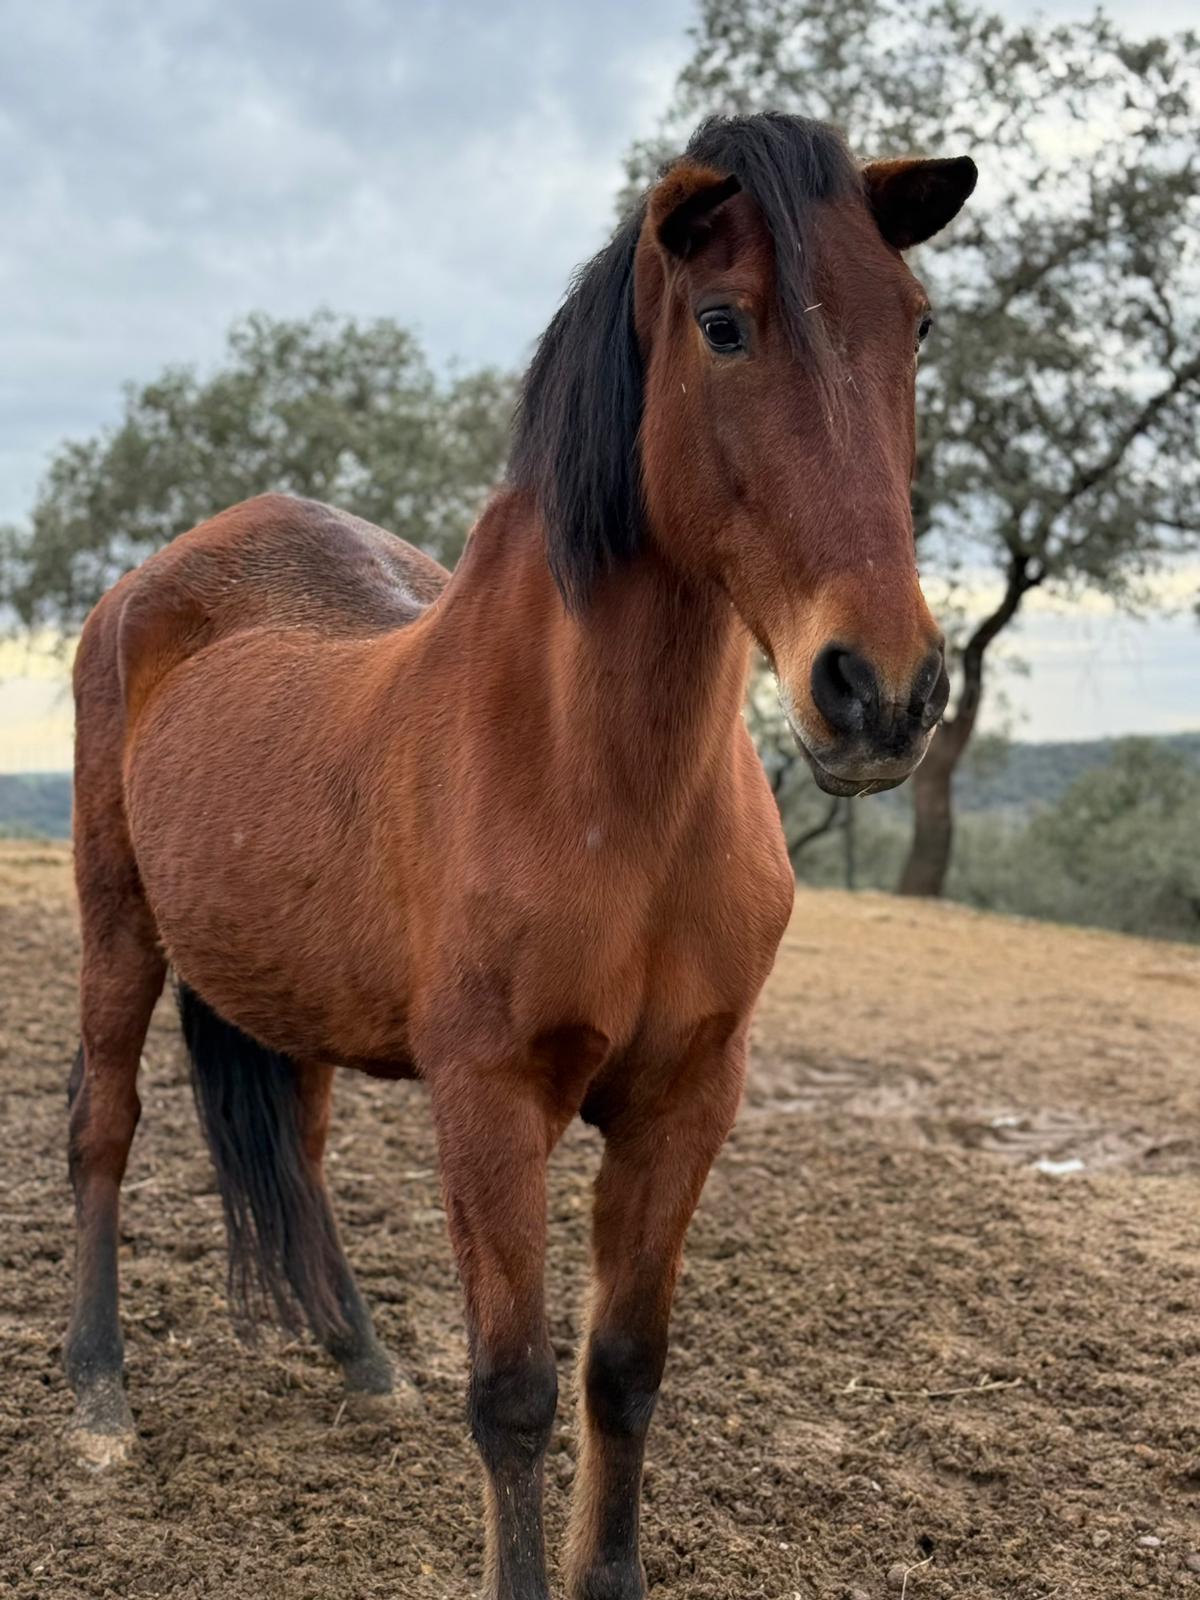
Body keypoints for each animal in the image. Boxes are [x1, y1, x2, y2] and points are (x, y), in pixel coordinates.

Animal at [64, 112, 975, 1599]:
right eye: (725, 324)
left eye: (918, 323)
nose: (883, 690)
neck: (606, 786)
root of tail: (156, 581)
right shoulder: (489, 1101)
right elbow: (516, 1398)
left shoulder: (688, 1100)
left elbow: (624, 1374)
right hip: (118, 924)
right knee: (106, 1127)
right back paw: (96, 1391)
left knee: (297, 1153)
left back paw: (363, 1358)